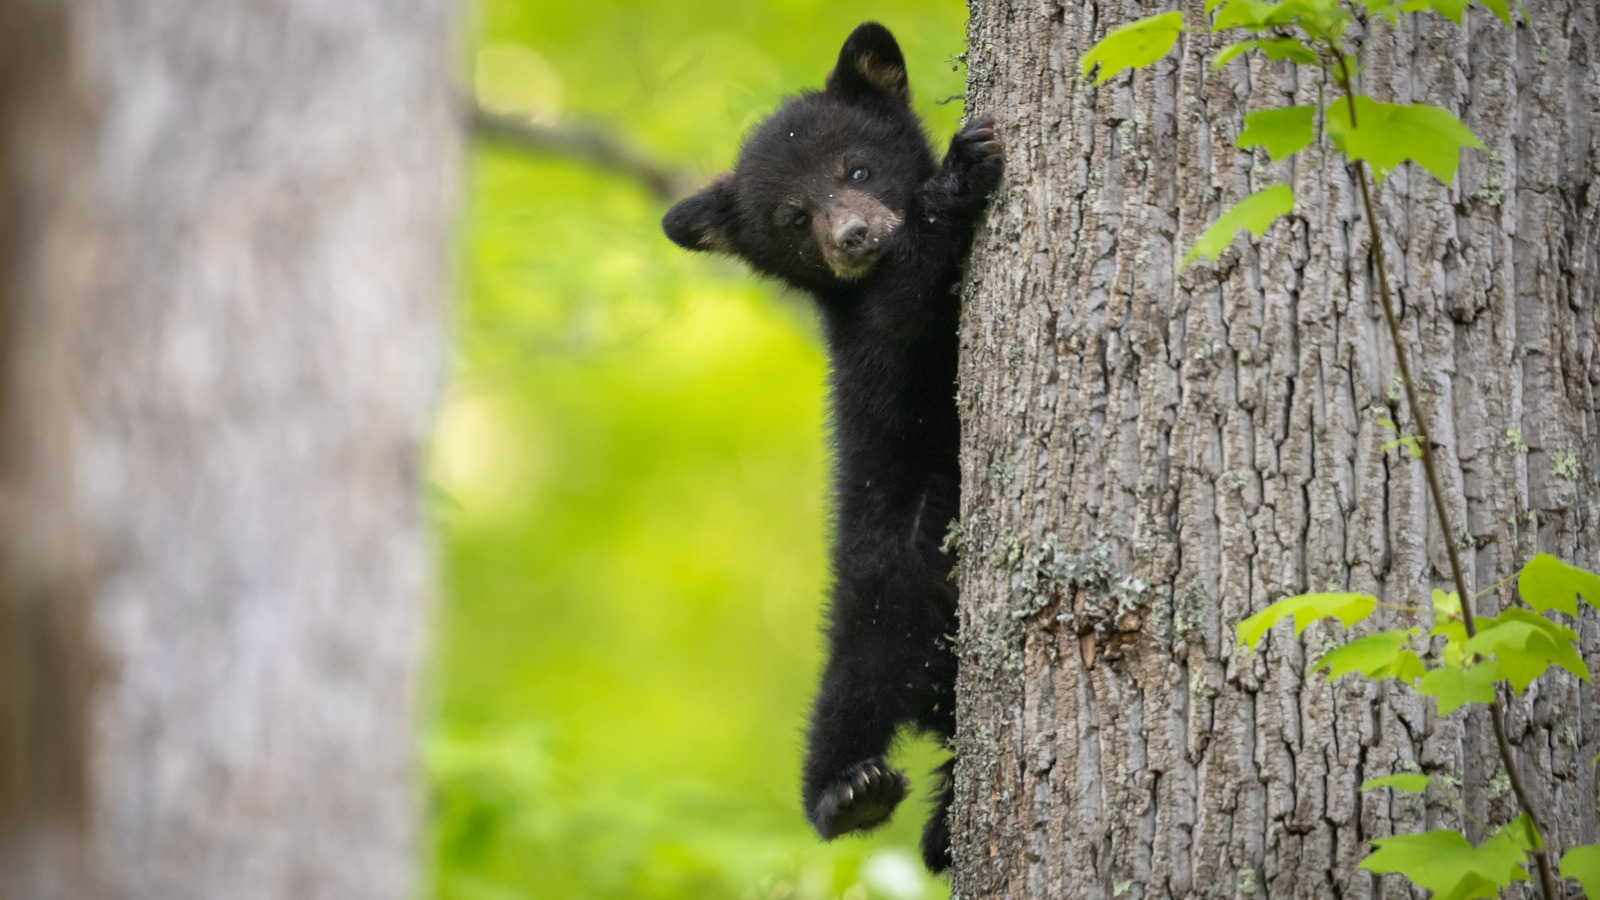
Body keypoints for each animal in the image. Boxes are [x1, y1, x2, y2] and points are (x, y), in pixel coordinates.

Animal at [661, 22, 1002, 873]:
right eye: (790, 217)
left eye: (857, 167)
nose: (851, 236)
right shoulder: (875, 341)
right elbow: (907, 304)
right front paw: (960, 175)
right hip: (876, 603)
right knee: (849, 696)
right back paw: (848, 795)